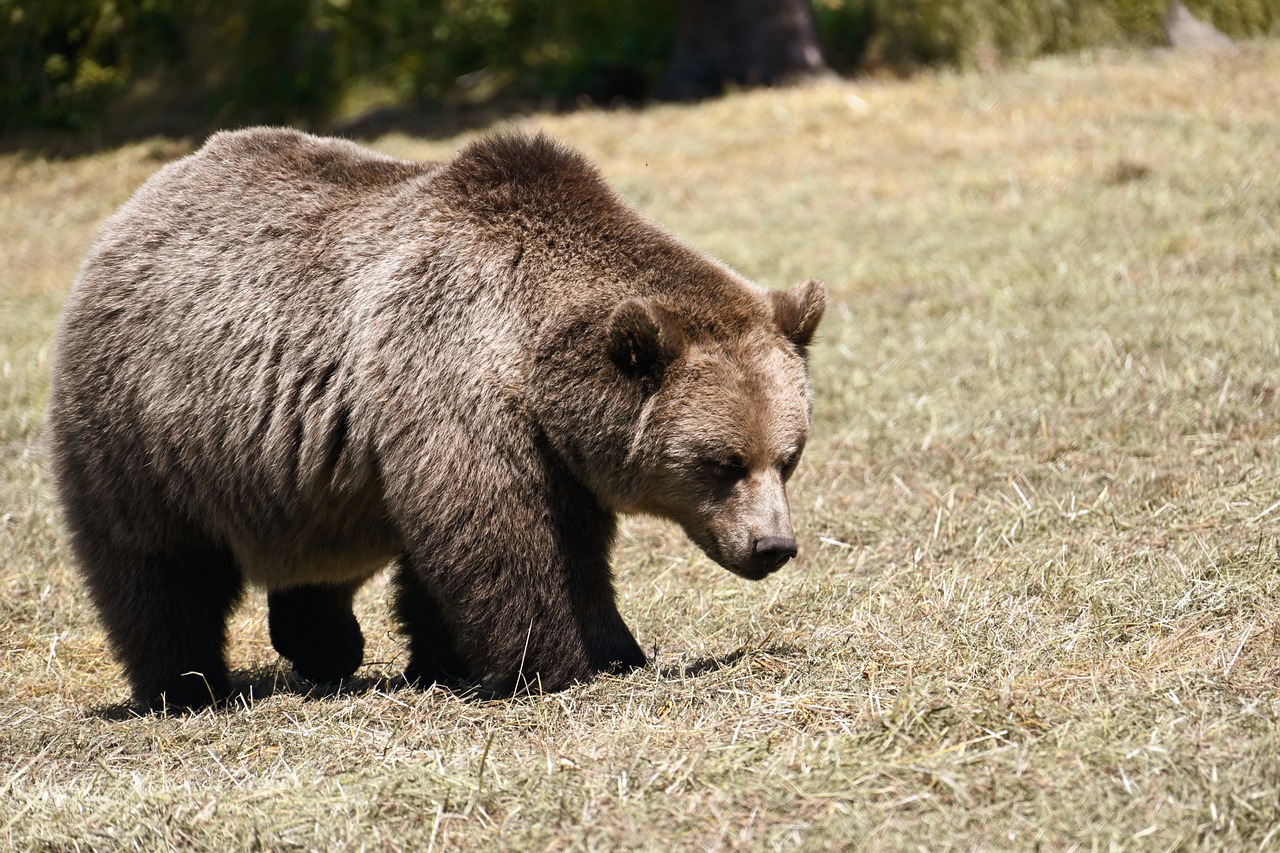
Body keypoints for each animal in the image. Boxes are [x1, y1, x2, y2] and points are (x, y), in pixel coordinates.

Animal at [46, 128, 825, 711]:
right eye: (723, 463)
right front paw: (555, 664)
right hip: (144, 427)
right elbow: (503, 539)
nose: (773, 546)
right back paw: (185, 684)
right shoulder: (455, 381)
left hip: (301, 474)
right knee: (156, 564)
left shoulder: (552, 449)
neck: (533, 359)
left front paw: (606, 650)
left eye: (787, 457)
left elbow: (554, 548)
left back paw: (324, 645)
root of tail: (140, 202)